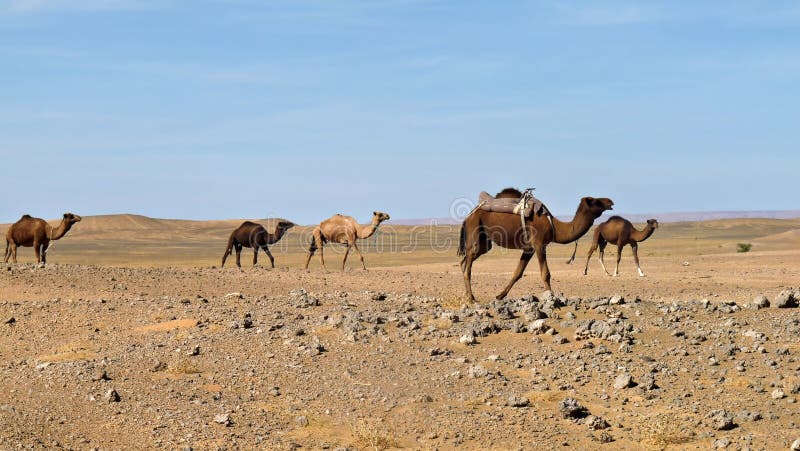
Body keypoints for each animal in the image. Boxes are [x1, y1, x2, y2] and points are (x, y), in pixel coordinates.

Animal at [458, 189, 613, 302]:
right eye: (595, 201)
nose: (610, 201)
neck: (554, 226)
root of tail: (470, 214)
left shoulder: (529, 249)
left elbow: (517, 273)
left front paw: (500, 296)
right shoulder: (539, 244)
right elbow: (546, 273)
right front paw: (552, 298)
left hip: (484, 241)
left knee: (465, 260)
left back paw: (466, 294)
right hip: (475, 228)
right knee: (468, 264)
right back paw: (471, 298)